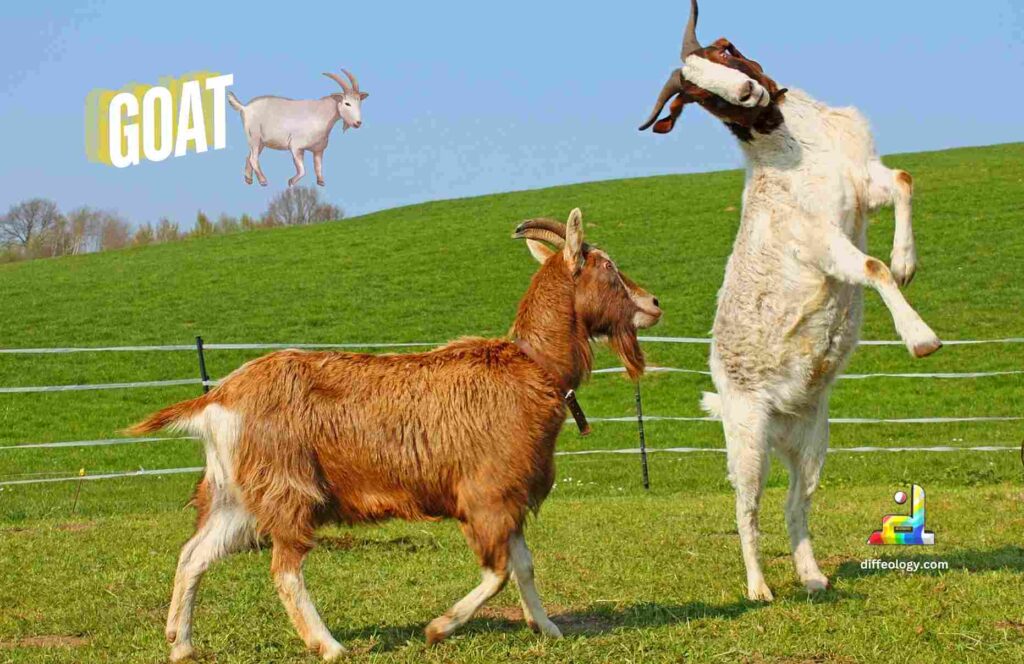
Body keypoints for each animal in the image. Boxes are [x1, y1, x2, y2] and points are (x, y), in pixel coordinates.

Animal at [128, 209, 661, 662]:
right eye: (607, 265)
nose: (654, 303)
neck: (533, 368)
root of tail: (220, 398)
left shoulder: (511, 495)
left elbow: (524, 566)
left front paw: (547, 628)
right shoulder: (485, 494)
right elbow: (497, 572)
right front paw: (439, 628)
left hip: (235, 493)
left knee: (194, 555)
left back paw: (180, 644)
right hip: (287, 486)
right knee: (284, 569)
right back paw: (329, 646)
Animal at [226, 68, 367, 187]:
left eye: (359, 103)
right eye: (347, 103)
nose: (358, 123)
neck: (321, 114)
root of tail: (245, 107)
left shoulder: (318, 150)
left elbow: (318, 166)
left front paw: (321, 182)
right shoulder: (296, 147)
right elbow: (302, 170)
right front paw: (291, 182)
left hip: (260, 141)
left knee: (249, 157)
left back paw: (249, 179)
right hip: (254, 137)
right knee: (253, 158)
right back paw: (263, 181)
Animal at [639, 0, 941, 601]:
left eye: (724, 50)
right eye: (696, 94)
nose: (748, 93)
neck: (793, 143)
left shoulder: (862, 182)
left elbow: (902, 180)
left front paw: (907, 261)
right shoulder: (819, 241)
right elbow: (868, 269)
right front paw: (921, 338)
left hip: (812, 437)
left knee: (795, 502)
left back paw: (813, 576)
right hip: (747, 438)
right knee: (747, 508)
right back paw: (759, 587)